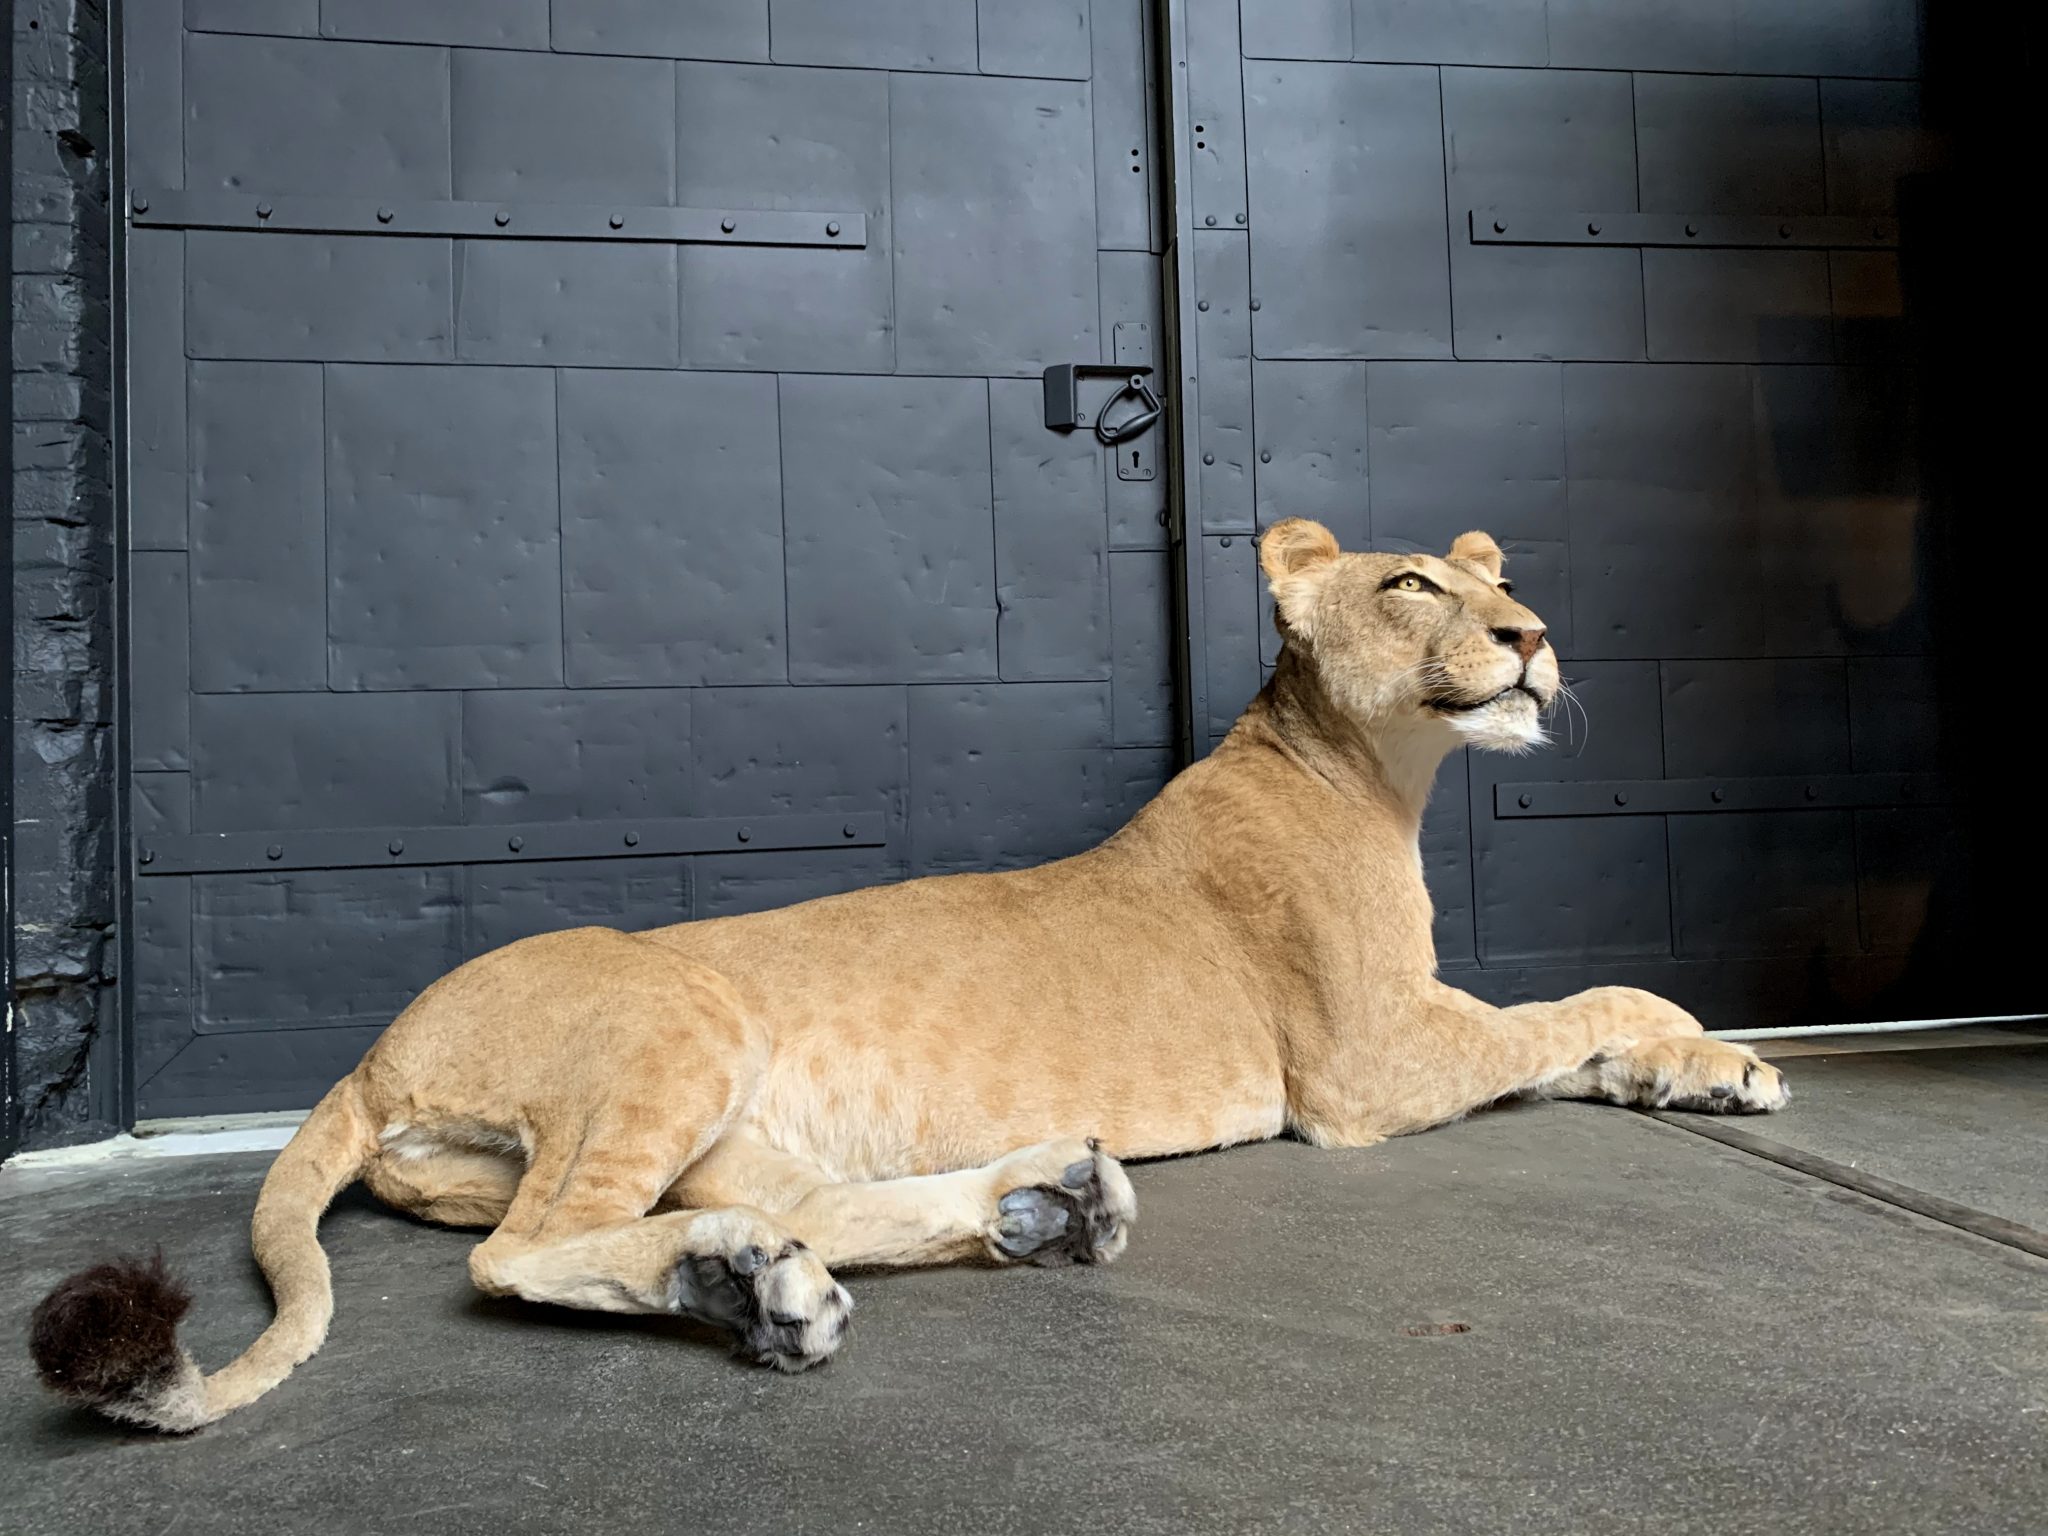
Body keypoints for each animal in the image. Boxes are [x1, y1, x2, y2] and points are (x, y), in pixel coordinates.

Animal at [30, 520, 1787, 1431]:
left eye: (1500, 575)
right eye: (1416, 583)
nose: (1538, 636)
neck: (1375, 770)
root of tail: (370, 1059)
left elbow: (1569, 1025)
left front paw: (1696, 1070)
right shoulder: (1360, 1071)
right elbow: (1567, 1006)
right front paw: (1716, 1054)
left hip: (729, 1114)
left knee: (793, 1207)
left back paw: (1017, 1210)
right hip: (676, 1023)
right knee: (525, 1252)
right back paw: (760, 1286)